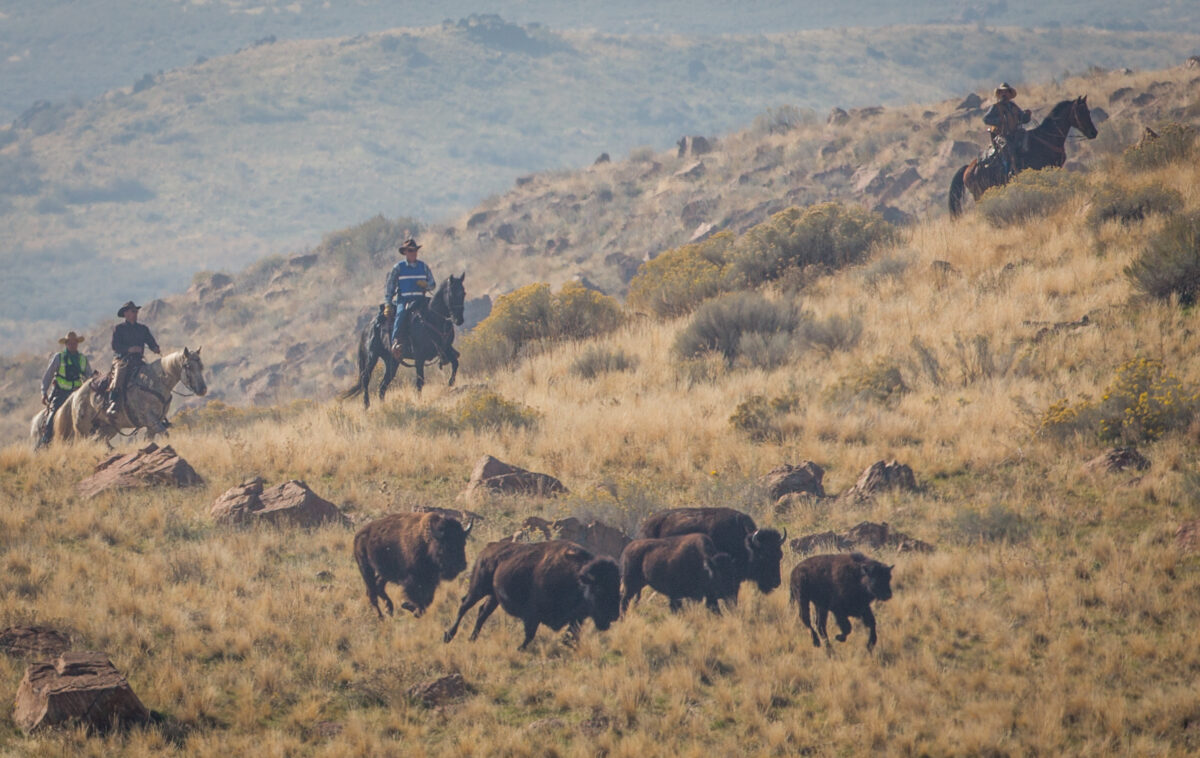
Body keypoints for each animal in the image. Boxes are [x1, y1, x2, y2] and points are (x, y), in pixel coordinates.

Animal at [443, 540, 620, 650]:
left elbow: (570, 635)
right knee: (464, 606)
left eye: (617, 588)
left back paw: (472, 638)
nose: (614, 615)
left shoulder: (576, 618)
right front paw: (519, 648)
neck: (577, 579)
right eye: (599, 589)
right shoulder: (533, 614)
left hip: (493, 596)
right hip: (478, 588)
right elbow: (530, 633)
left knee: (482, 612)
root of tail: (487, 549)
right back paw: (448, 636)